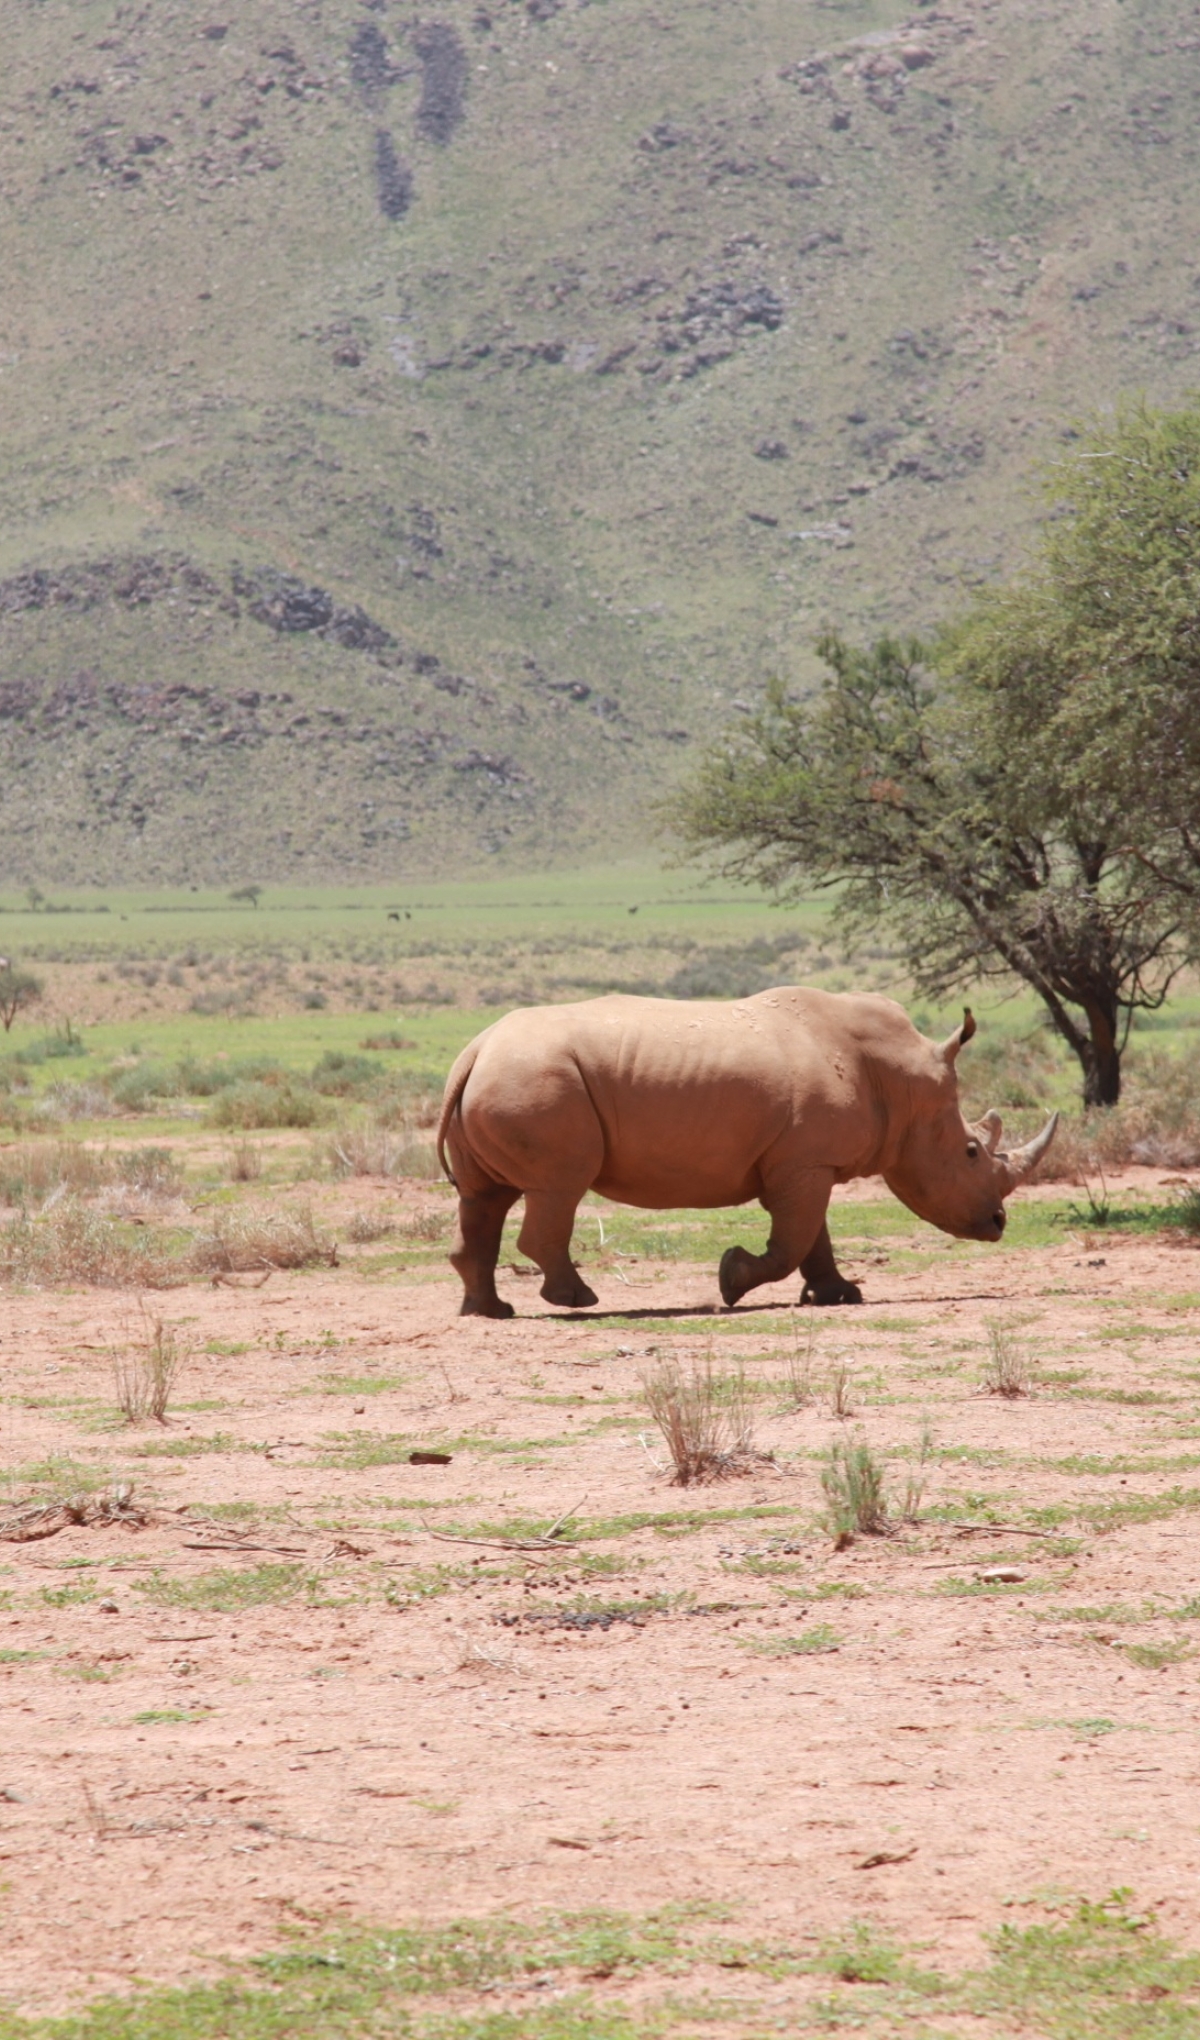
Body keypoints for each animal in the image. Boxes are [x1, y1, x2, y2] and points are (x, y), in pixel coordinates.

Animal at [435, 987, 1057, 1319]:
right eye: (972, 1151)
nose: (999, 1223)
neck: (900, 1079)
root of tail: (473, 1050)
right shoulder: (804, 1163)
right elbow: (790, 1242)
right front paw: (731, 1281)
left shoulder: (809, 1160)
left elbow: (814, 1237)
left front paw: (840, 1295)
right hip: (535, 1082)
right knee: (558, 1188)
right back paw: (579, 1299)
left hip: (504, 1078)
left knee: (485, 1198)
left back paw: (490, 1311)